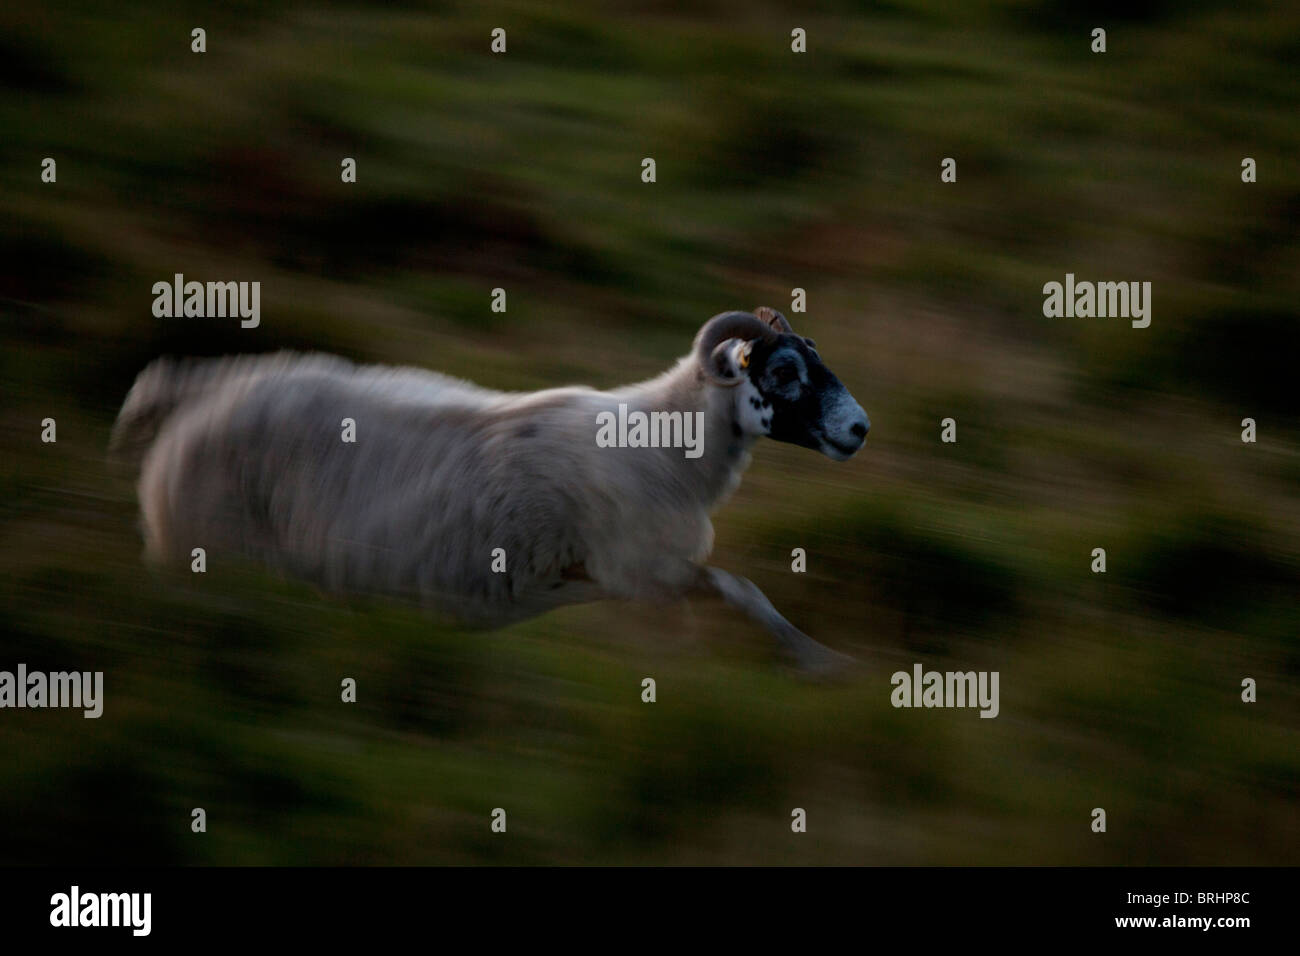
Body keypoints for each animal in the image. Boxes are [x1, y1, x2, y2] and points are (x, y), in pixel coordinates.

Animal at [111, 307, 870, 673]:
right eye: (784, 372)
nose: (859, 429)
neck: (665, 443)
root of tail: (207, 391)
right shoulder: (641, 570)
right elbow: (741, 592)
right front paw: (820, 663)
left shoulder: (608, 575)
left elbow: (740, 594)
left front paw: (821, 661)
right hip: (204, 551)